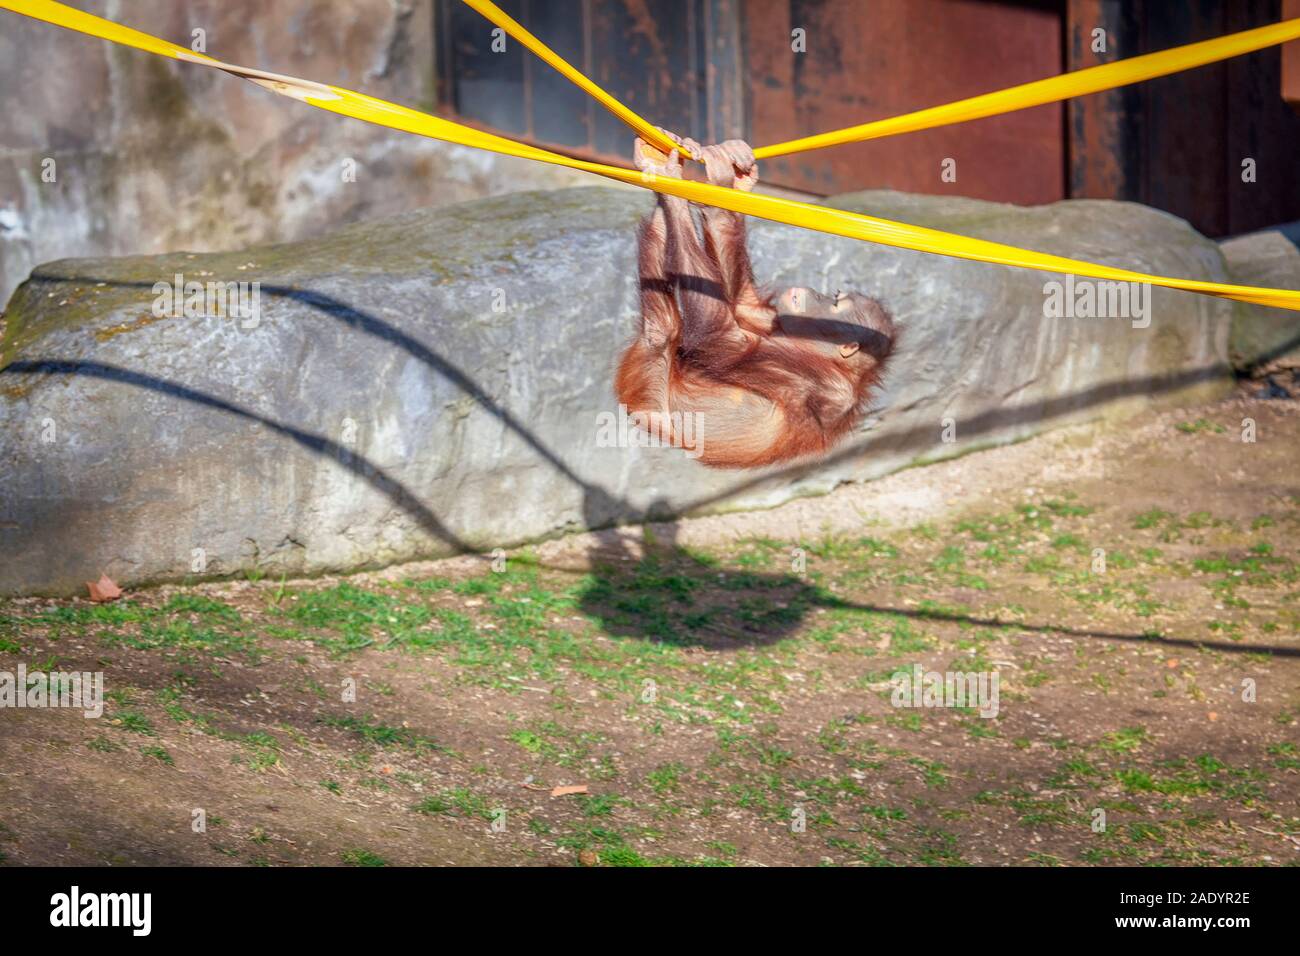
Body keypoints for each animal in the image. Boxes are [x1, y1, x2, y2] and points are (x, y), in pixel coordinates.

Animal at [614, 131, 896, 469]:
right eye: (836, 297)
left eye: (835, 306)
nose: (818, 294)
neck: (818, 352)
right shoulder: (770, 318)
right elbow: (741, 303)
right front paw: (736, 181)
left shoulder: (818, 380)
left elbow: (722, 340)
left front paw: (717, 179)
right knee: (665, 326)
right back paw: (656, 171)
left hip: (649, 380)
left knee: (663, 330)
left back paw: (668, 187)